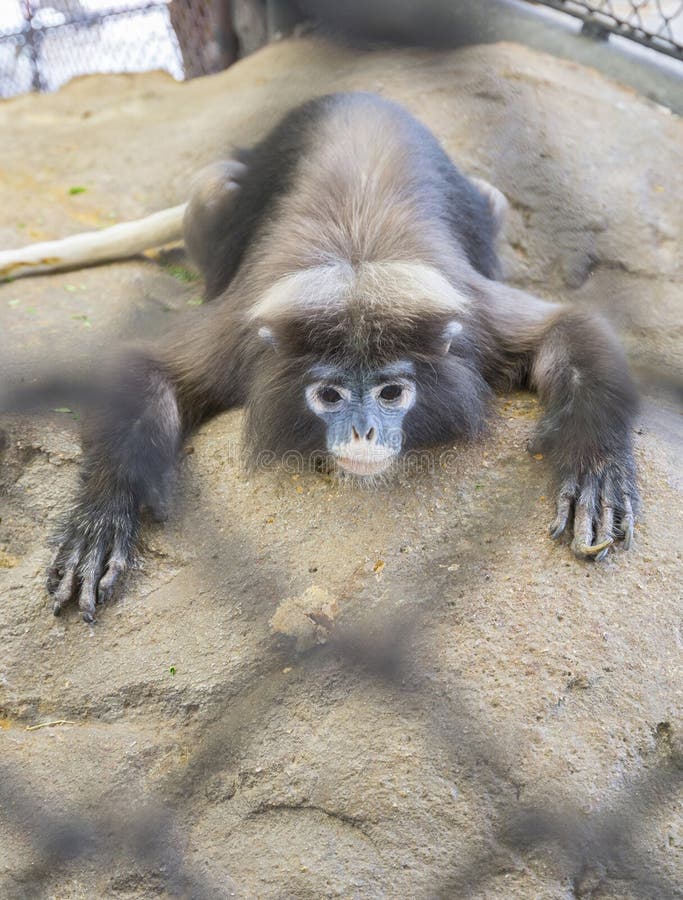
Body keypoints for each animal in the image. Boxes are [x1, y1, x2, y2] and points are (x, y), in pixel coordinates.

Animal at [6, 92, 637, 622]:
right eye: (330, 395)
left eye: (391, 392)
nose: (362, 432)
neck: (357, 267)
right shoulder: (241, 338)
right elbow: (144, 366)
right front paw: (103, 516)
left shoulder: (474, 320)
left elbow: (567, 329)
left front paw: (596, 469)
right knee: (214, 188)